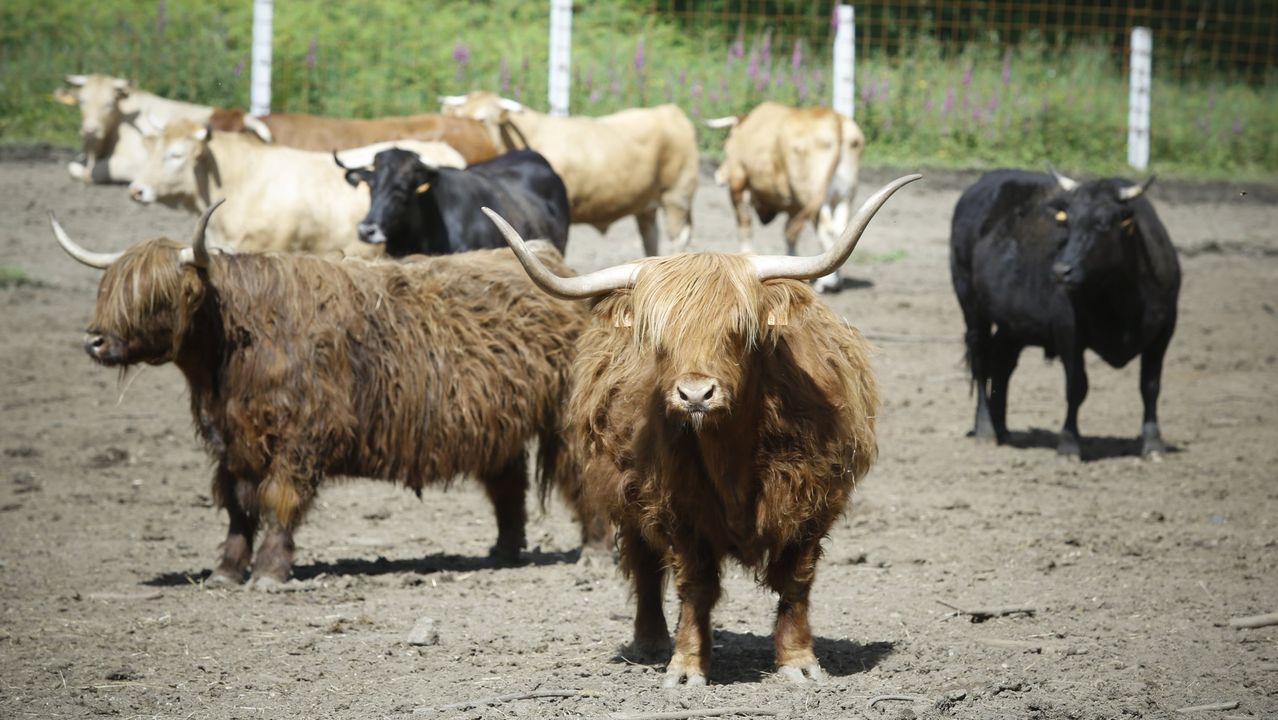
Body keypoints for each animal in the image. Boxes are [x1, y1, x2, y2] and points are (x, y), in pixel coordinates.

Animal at [49, 202, 595, 586]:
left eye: (154, 296)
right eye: (107, 290)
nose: (94, 340)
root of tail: (554, 262)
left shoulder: (302, 435)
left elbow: (280, 501)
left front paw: (269, 573)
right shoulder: (232, 443)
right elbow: (237, 507)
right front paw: (225, 572)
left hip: (567, 419)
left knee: (579, 477)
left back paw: (592, 552)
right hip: (498, 421)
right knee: (507, 483)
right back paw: (503, 550)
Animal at [440, 91, 698, 256]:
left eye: (482, 119)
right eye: (457, 116)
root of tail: (669, 110)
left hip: (676, 197)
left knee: (677, 240)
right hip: (647, 207)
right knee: (650, 239)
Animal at [482, 173, 921, 685]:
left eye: (738, 330)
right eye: (658, 338)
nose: (695, 394)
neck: (731, 454)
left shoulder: (813, 502)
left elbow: (796, 582)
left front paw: (799, 663)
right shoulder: (676, 509)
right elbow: (694, 586)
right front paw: (686, 666)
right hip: (623, 494)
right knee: (644, 567)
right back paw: (650, 640)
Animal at [704, 102, 866, 293]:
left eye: (726, 145)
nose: (718, 175)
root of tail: (835, 119)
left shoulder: (738, 185)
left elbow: (745, 226)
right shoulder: (794, 205)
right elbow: (790, 234)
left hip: (813, 196)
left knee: (826, 229)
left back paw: (828, 283)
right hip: (843, 197)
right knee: (842, 231)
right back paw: (836, 280)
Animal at [950, 168, 1181, 459]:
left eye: (1103, 223)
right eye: (1068, 222)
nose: (1062, 270)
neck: (1121, 296)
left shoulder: (1164, 332)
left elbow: (1150, 386)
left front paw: (1153, 443)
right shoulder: (1068, 331)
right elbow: (1077, 387)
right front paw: (1069, 444)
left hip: (1014, 323)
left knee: (1002, 362)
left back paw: (1002, 428)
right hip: (971, 305)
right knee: (982, 361)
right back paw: (986, 428)